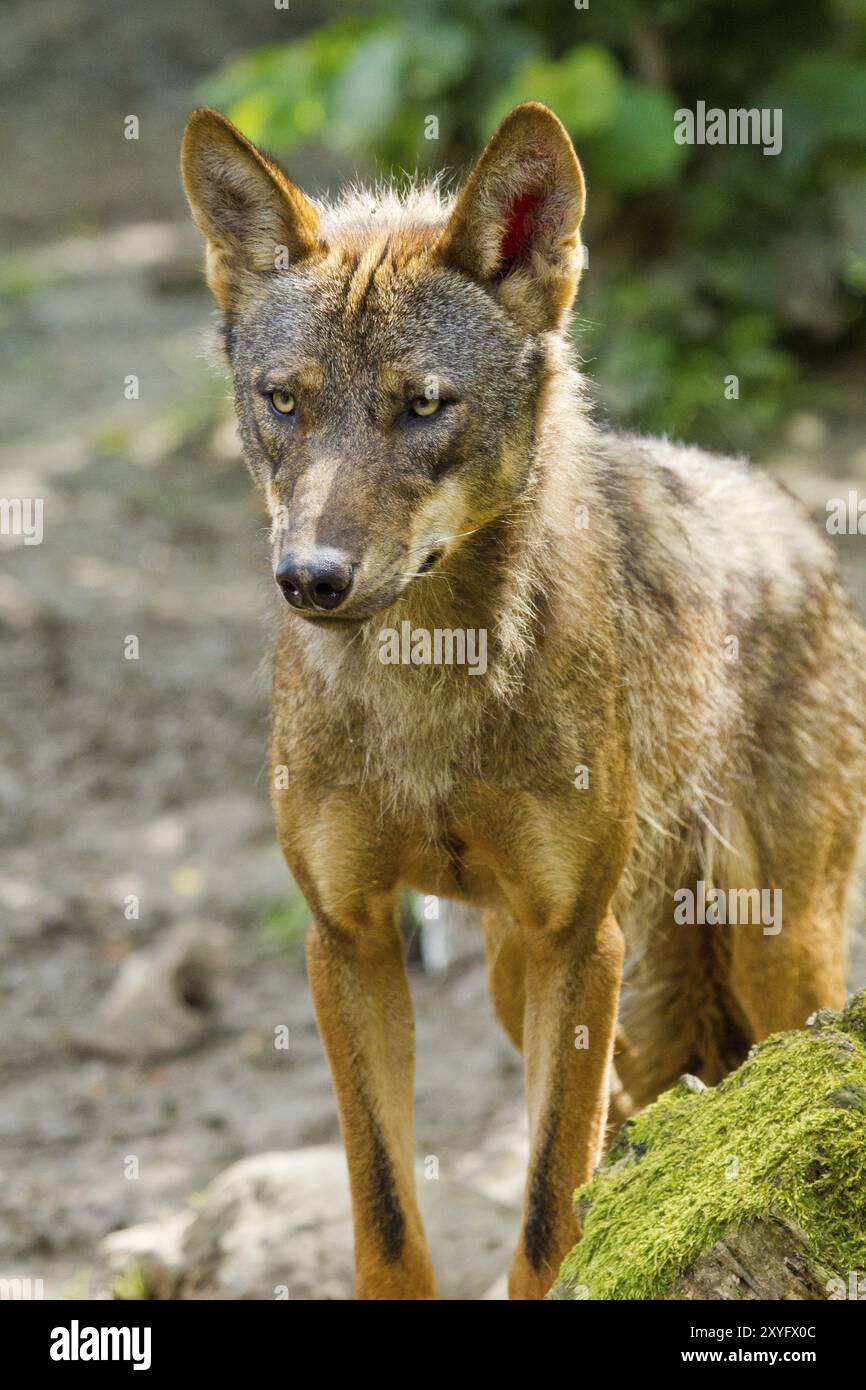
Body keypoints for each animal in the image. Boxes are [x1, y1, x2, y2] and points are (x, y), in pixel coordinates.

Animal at [181, 101, 866, 1299]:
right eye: (284, 403)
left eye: (423, 406)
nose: (309, 577)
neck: (427, 691)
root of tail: (794, 516)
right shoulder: (348, 937)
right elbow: (387, 1213)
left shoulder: (577, 940)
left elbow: (549, 1209)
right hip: (527, 979)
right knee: (644, 1106)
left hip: (771, 958)